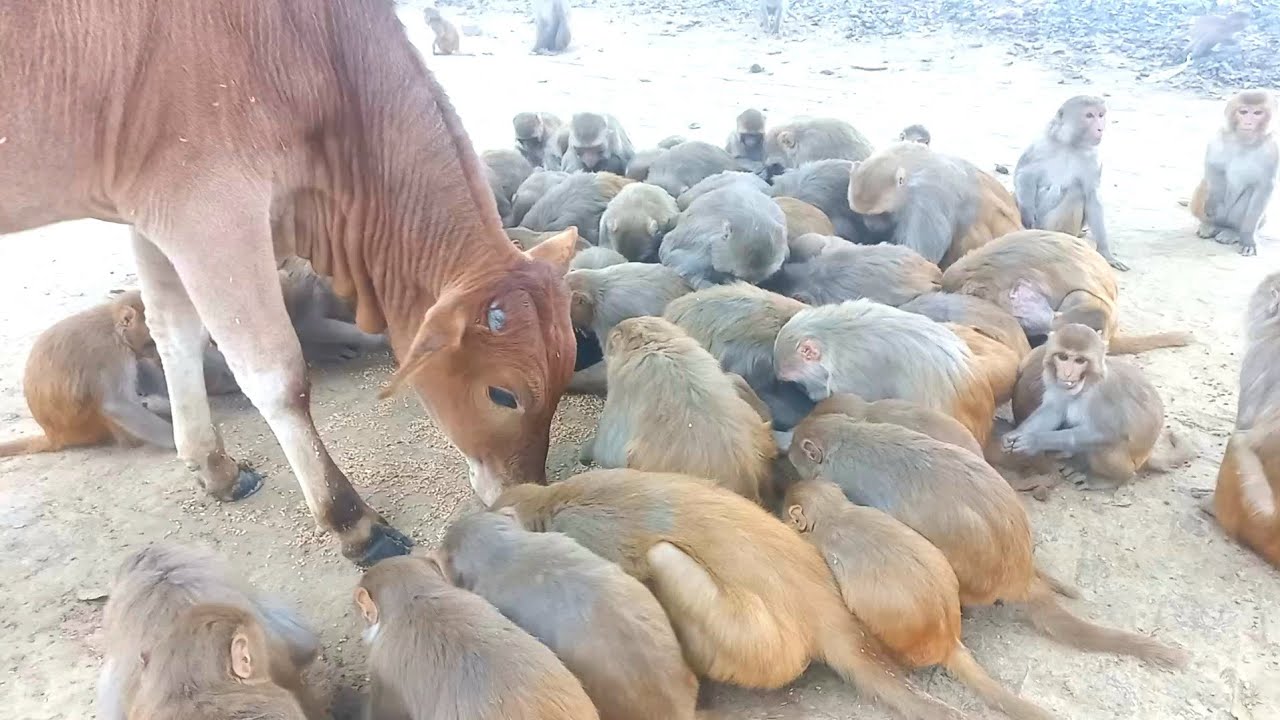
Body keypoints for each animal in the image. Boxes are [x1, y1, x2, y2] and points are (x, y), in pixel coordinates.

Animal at [0, 291, 179, 460]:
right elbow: (116, 404)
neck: (114, 328)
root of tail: (52, 435)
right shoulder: (110, 353)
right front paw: (174, 440)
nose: (158, 355)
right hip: (85, 427)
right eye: (152, 340)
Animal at [1004, 323, 1197, 490]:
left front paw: (1034, 440)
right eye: (1063, 357)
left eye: (1080, 360)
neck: (1086, 386)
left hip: (1128, 464)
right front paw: (1017, 434)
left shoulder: (1105, 396)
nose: (1067, 373)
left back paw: (1108, 480)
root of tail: (1147, 455)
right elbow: (1053, 411)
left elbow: (1107, 433)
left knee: (1107, 447)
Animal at [1014, 96, 1127, 270]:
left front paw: (1105, 252)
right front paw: (1027, 211)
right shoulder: (1041, 145)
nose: (1100, 129)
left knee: (1075, 192)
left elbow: (1092, 198)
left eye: (1101, 115)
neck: (1070, 145)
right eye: (1089, 115)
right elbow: (1024, 174)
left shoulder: (1093, 159)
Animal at [1189, 90, 1278, 257]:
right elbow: (1213, 166)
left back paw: (1233, 233)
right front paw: (1212, 205)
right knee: (1205, 186)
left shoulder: (1273, 148)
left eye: (1257, 113)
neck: (1245, 142)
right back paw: (1209, 225)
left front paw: (1248, 240)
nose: (1248, 123)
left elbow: (1264, 186)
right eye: (1243, 112)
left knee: (1249, 195)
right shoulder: (1220, 135)